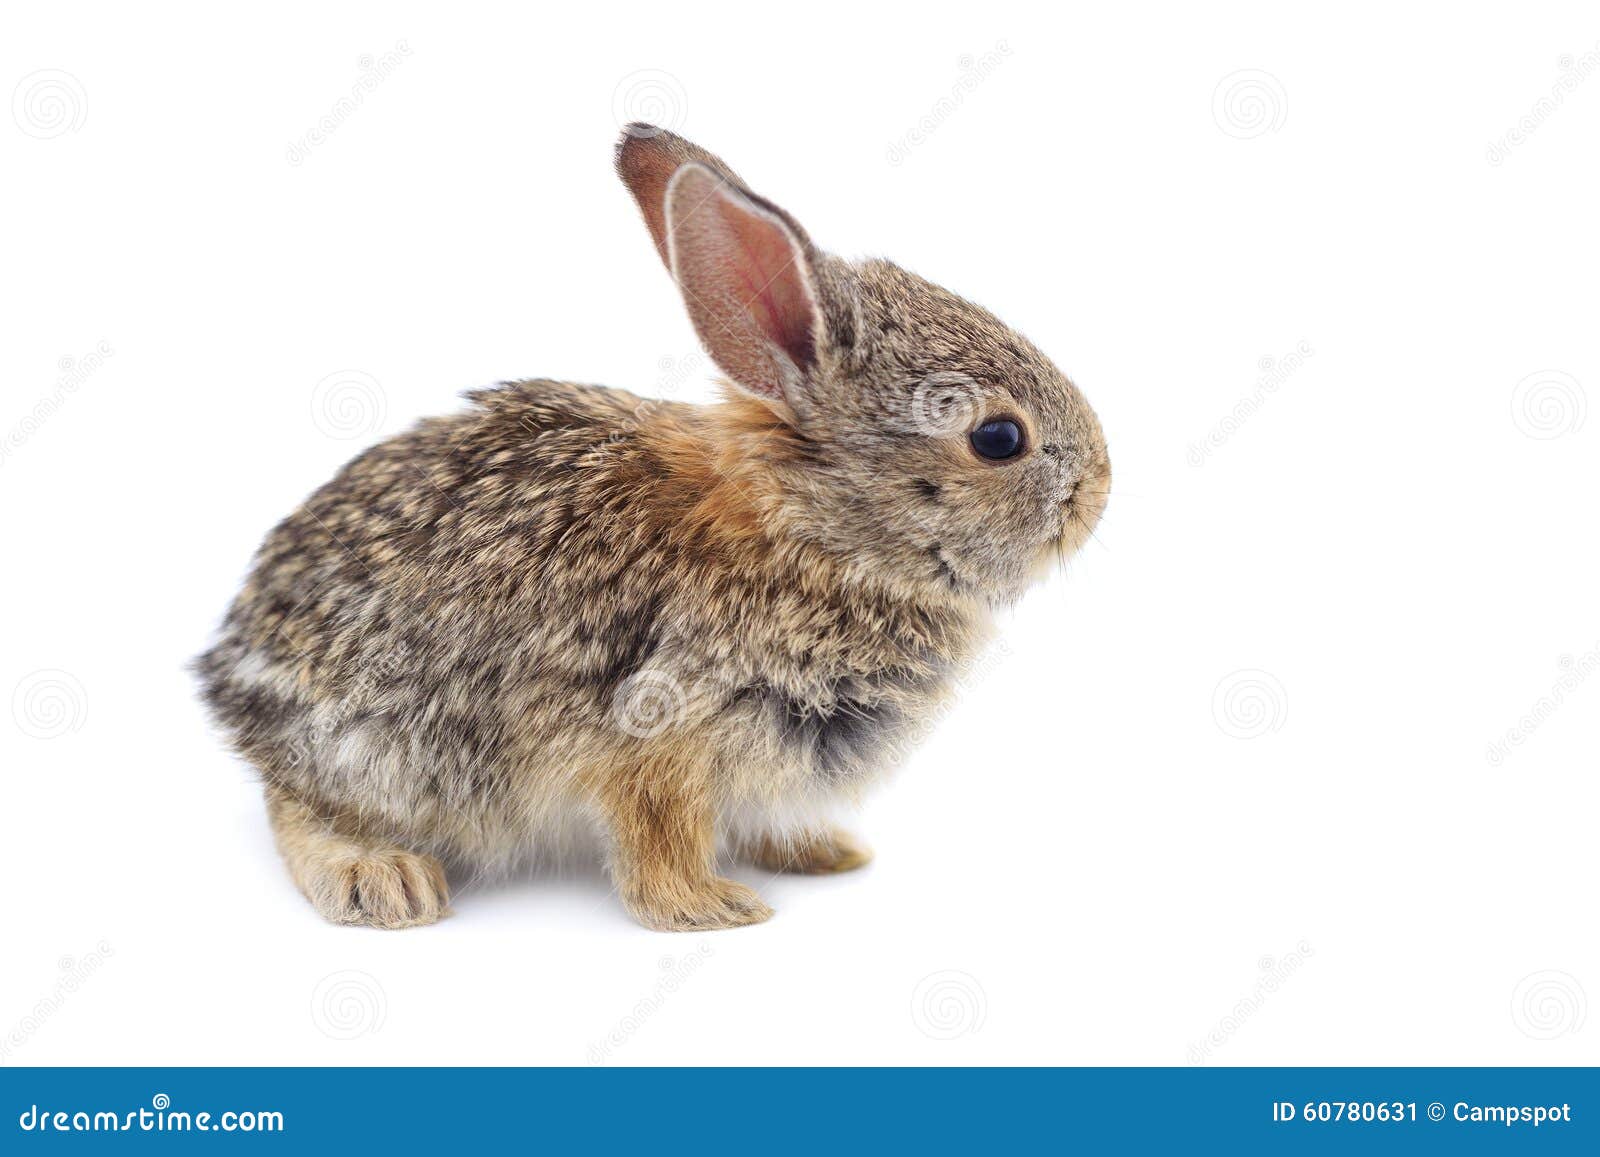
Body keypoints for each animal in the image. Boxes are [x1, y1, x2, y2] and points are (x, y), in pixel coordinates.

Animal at [194, 122, 1110, 931]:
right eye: (999, 438)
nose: (1100, 489)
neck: (815, 534)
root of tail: (231, 662)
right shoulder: (657, 738)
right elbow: (657, 839)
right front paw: (712, 910)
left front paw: (824, 853)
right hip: (386, 751)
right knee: (299, 805)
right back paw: (381, 878)